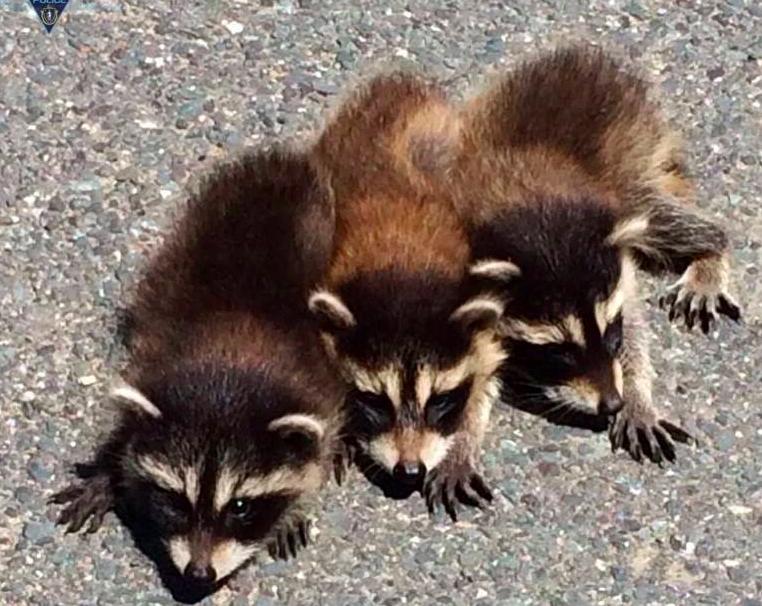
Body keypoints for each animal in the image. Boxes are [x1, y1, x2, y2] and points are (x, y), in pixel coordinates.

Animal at [50, 148, 345, 591]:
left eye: (240, 506)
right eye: (176, 500)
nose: (199, 574)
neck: (228, 369)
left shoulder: (318, 388)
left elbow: (321, 447)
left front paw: (295, 509)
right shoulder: (153, 364)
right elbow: (126, 427)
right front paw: (107, 470)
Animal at [308, 70, 505, 519]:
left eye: (440, 401)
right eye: (375, 401)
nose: (409, 470)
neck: (402, 270)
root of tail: (398, 81)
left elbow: (487, 373)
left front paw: (459, 442)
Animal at [440, 46, 740, 464]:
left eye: (611, 334)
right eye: (559, 353)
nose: (612, 403)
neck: (537, 212)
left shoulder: (614, 261)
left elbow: (634, 325)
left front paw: (637, 394)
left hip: (631, 172)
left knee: (675, 221)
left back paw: (712, 249)